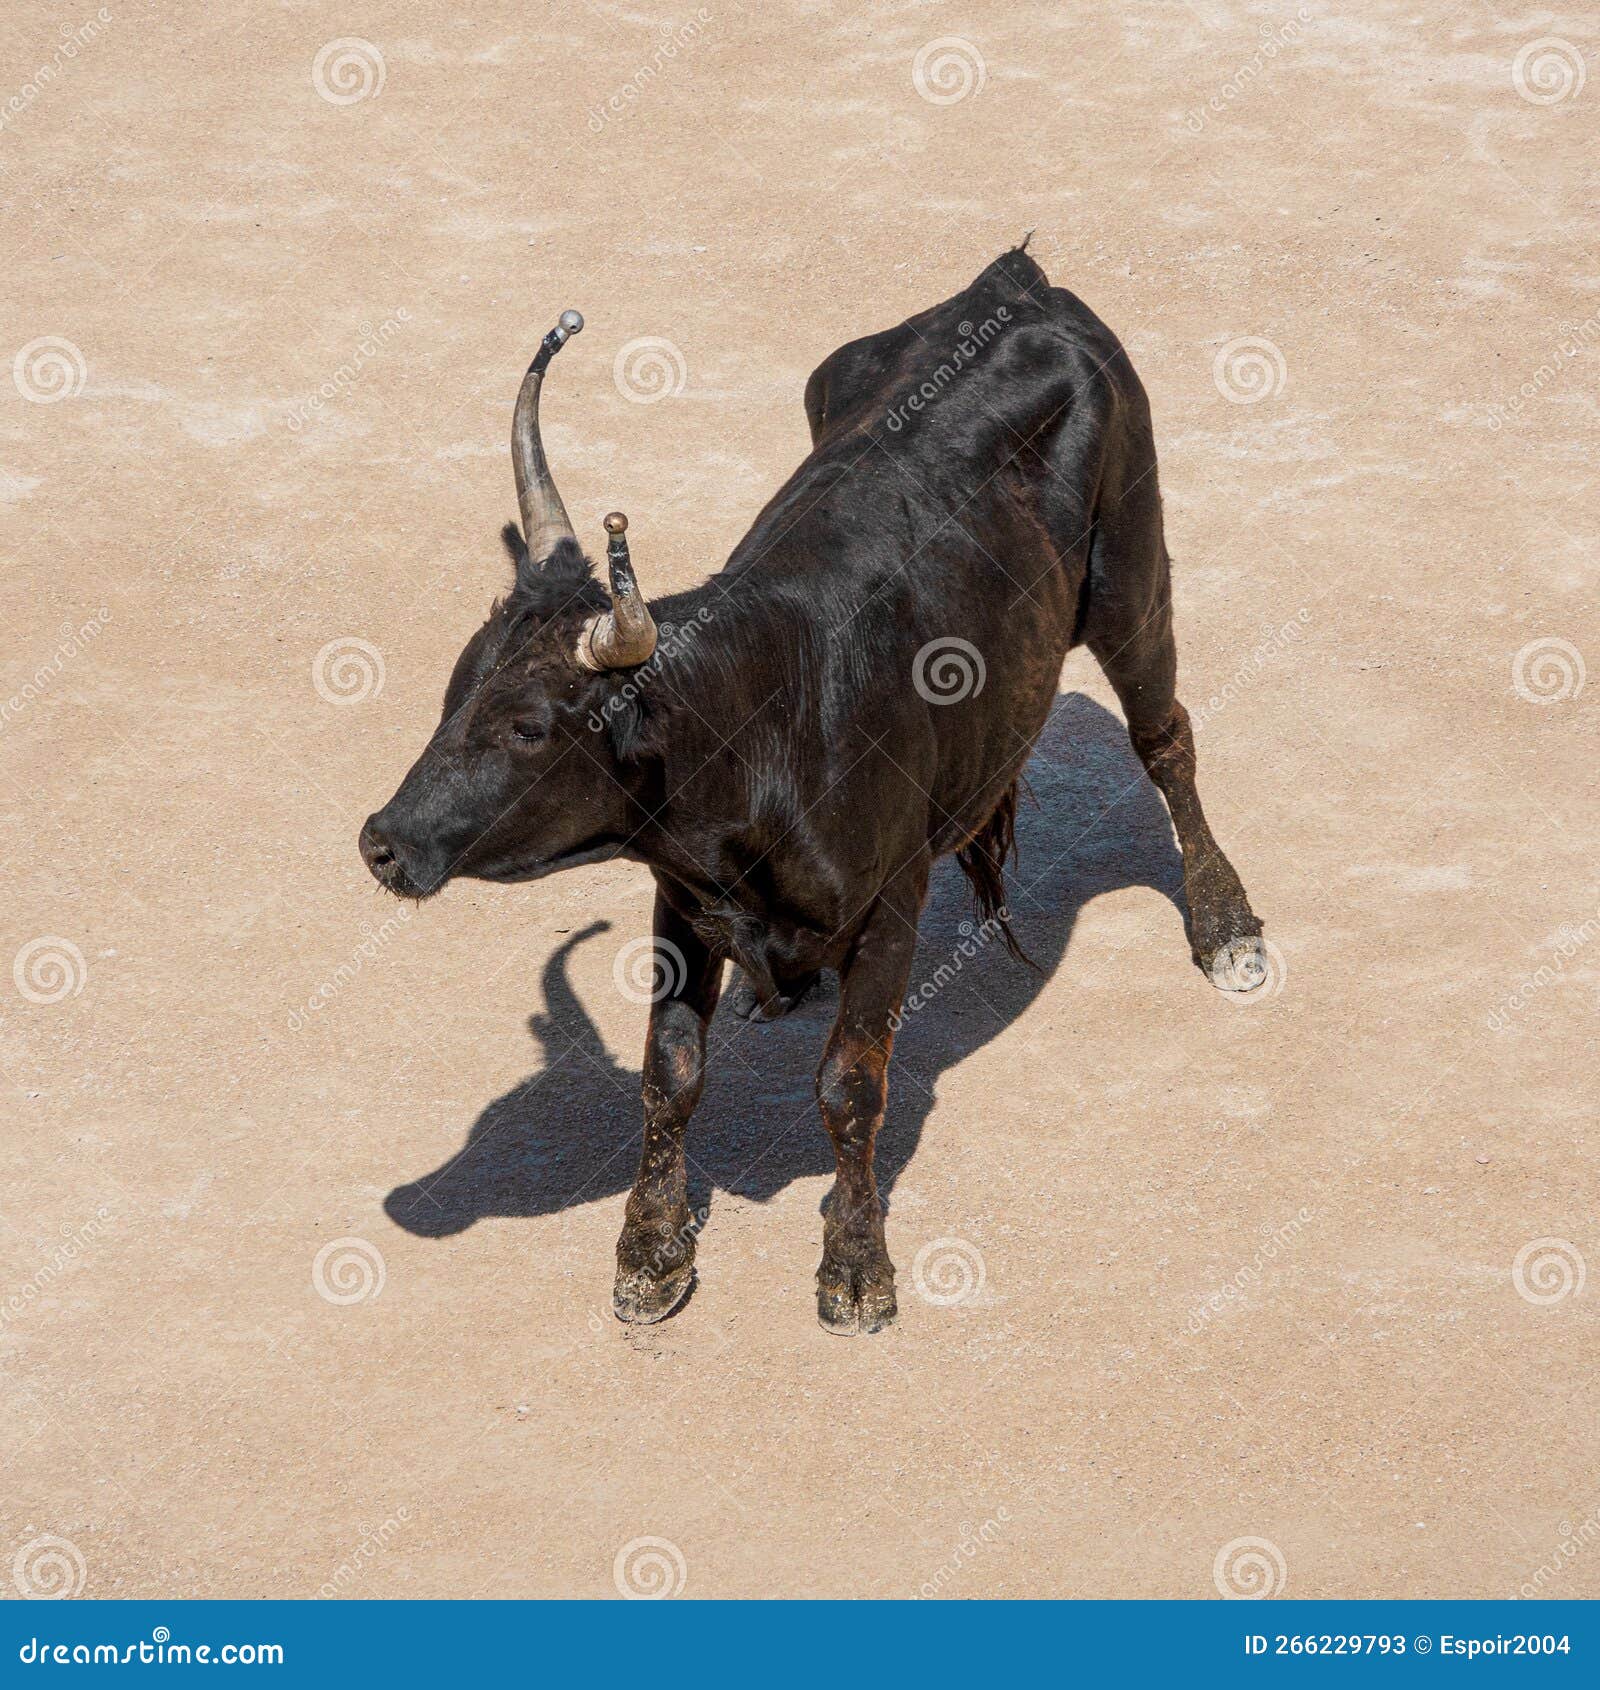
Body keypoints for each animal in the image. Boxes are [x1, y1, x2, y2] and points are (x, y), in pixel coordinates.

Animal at [359, 244, 1266, 1334]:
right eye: (453, 693)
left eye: (530, 727)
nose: (383, 840)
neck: (765, 729)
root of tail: (1017, 282)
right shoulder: (680, 899)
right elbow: (670, 1072)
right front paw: (650, 1251)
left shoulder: (893, 898)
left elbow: (851, 1085)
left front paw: (856, 1263)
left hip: (1132, 572)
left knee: (1165, 738)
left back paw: (1225, 925)